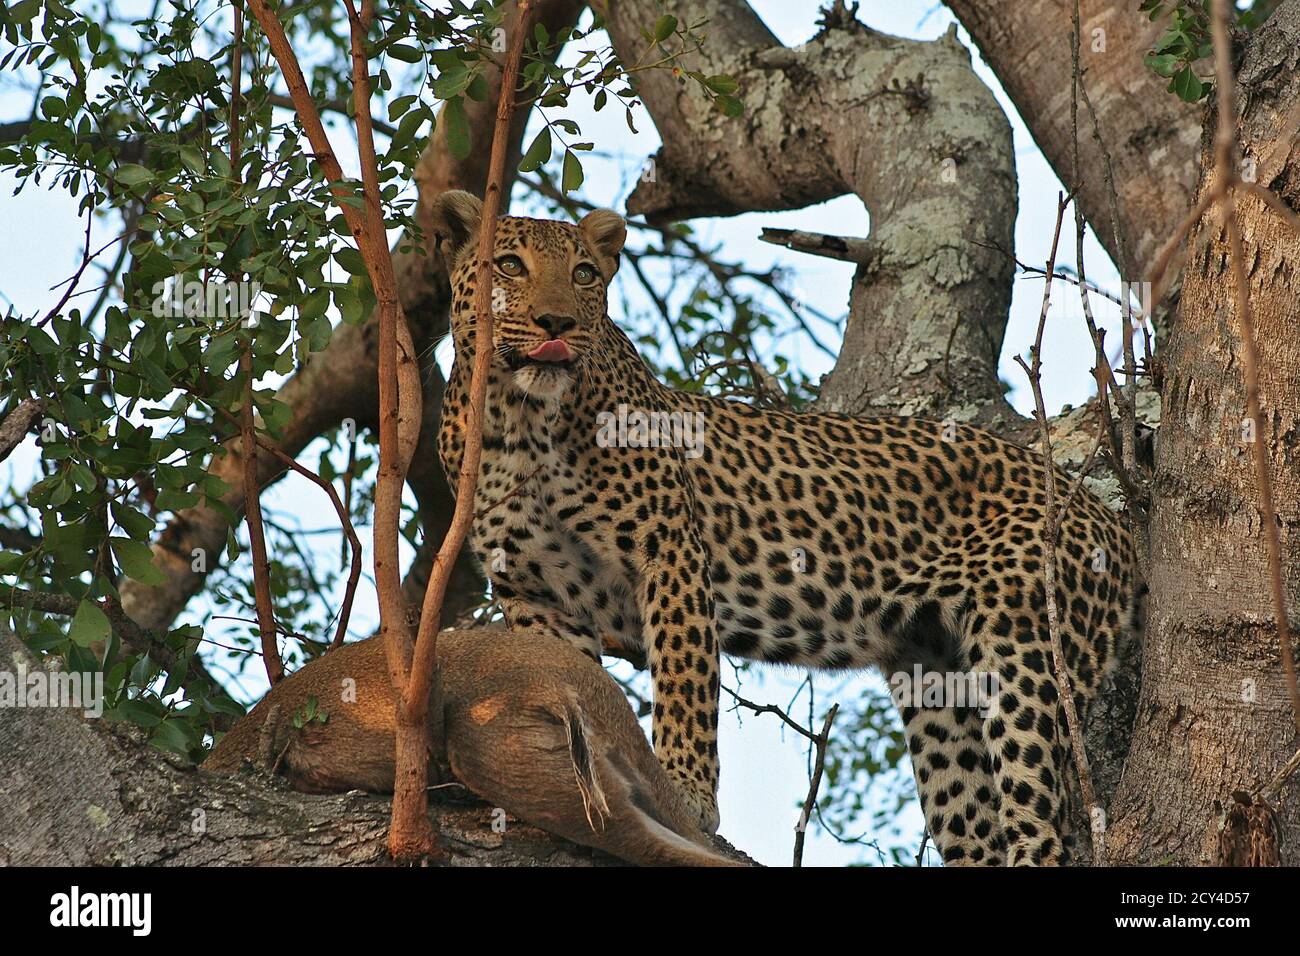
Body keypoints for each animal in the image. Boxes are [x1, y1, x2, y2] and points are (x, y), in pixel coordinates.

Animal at [431, 190, 1140, 866]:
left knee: (1047, 818)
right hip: (937, 685)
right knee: (976, 824)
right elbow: (575, 686)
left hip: (1027, 649)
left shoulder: (669, 550)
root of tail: (1103, 512)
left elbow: (685, 681)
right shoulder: (535, 593)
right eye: (509, 265)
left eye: (583, 274)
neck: (519, 420)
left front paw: (686, 791)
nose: (558, 323)